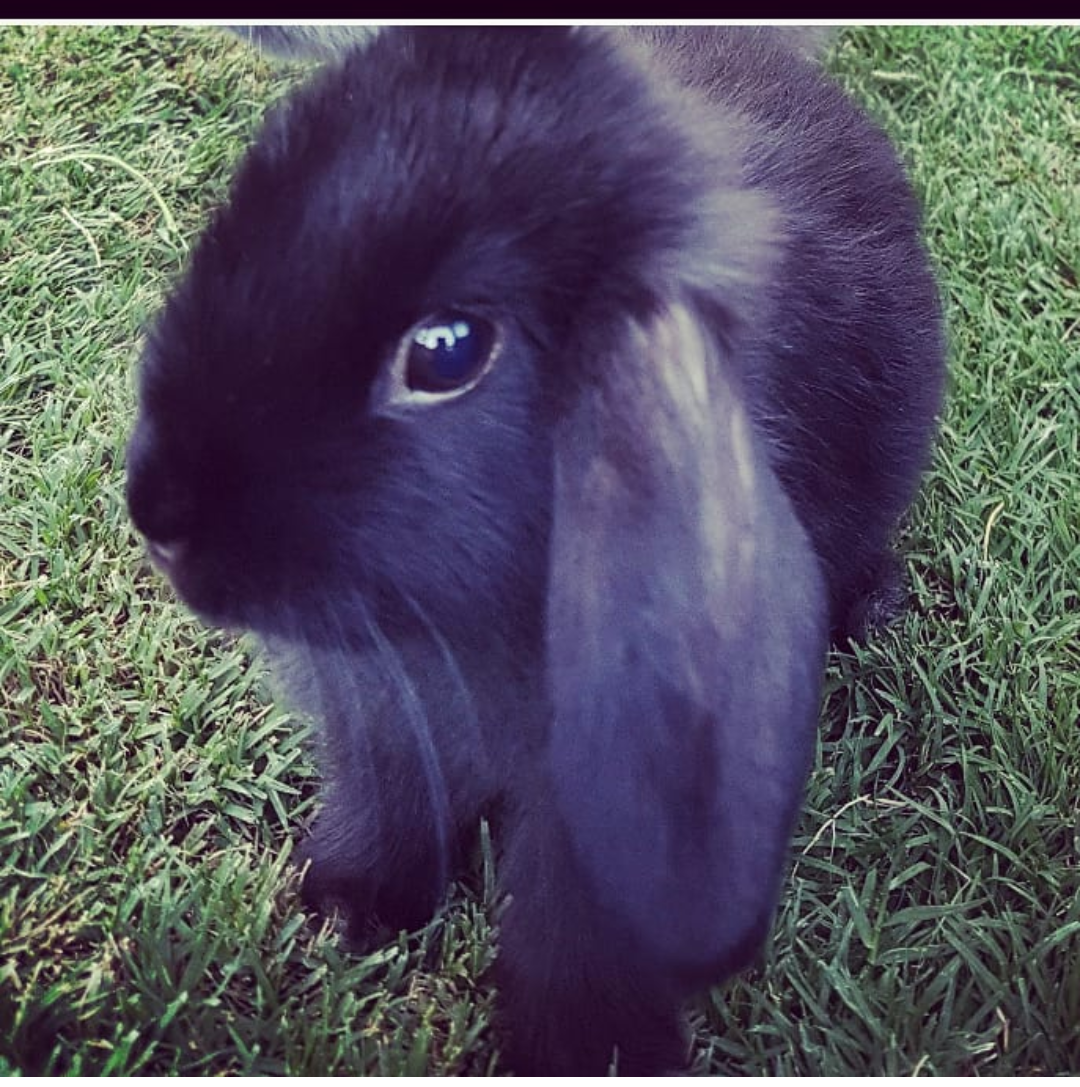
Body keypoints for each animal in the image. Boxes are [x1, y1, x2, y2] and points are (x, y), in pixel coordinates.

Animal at [126, 26, 945, 1075]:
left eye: (445, 350)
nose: (157, 513)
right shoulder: (385, 708)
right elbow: (389, 800)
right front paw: (344, 910)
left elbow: (577, 929)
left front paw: (587, 1050)